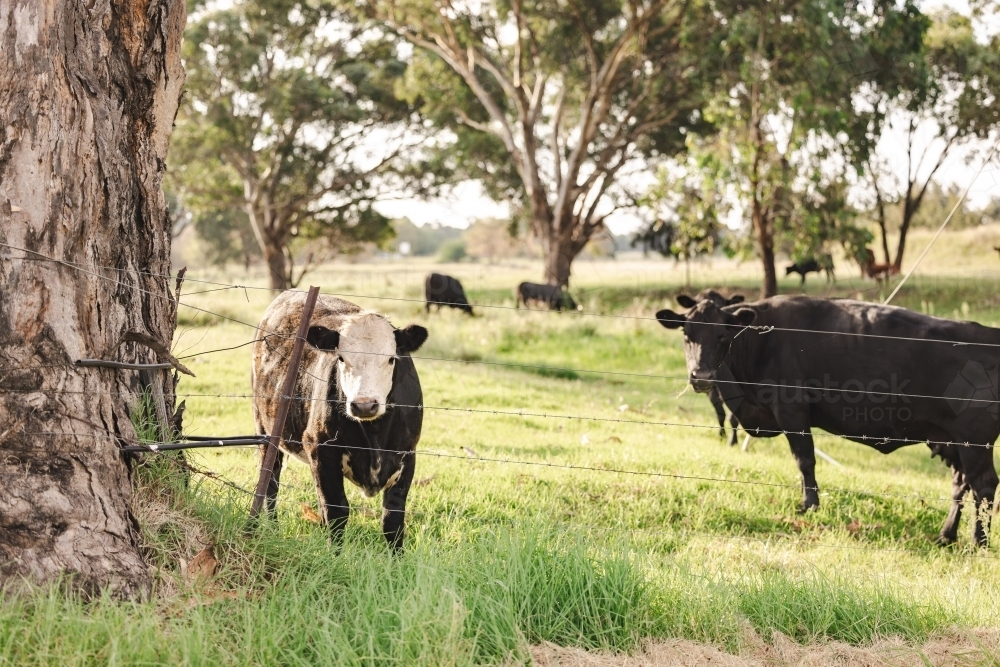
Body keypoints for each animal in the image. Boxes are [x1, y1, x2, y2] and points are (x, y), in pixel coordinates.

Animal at [251, 291, 429, 551]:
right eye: (342, 358)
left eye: (390, 359)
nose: (364, 404)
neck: (374, 434)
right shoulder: (320, 448)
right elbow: (336, 512)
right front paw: (333, 556)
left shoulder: (407, 453)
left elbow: (392, 519)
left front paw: (396, 560)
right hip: (265, 431)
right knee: (270, 483)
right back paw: (271, 529)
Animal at [676, 290, 745, 446]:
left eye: (724, 307)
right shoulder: (709, 387)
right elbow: (720, 412)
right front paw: (721, 435)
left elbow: (734, 416)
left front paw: (733, 441)